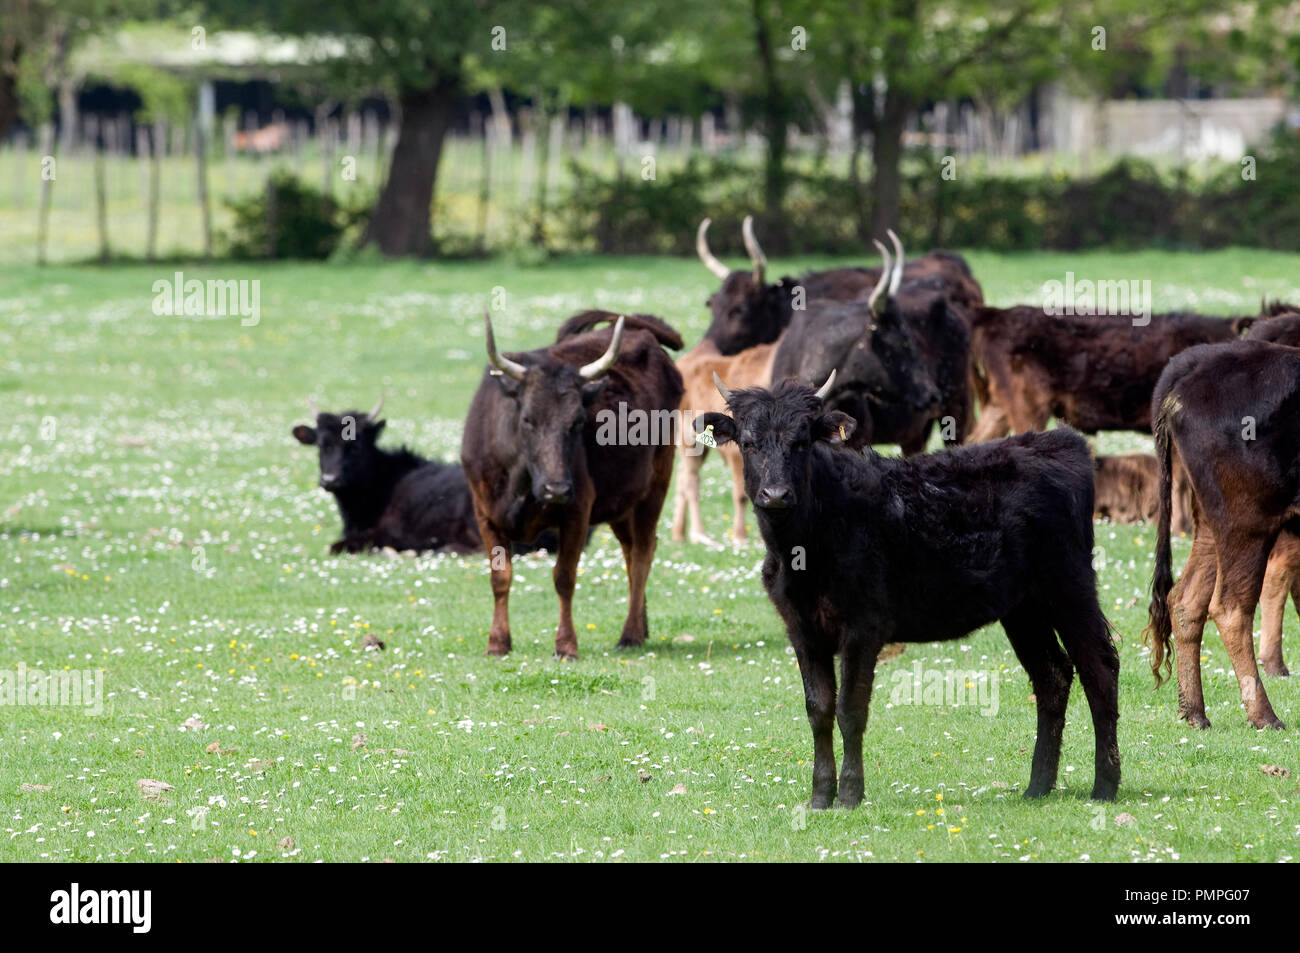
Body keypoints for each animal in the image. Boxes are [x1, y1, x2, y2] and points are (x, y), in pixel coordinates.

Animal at [461, 311, 684, 659]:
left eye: (577, 421)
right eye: (527, 419)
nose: (557, 490)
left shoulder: (577, 511)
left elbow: (564, 578)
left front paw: (565, 645)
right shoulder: (485, 513)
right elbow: (500, 578)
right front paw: (497, 643)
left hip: (656, 483)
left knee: (643, 553)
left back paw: (631, 633)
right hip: (622, 500)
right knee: (630, 551)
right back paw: (642, 625)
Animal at [696, 375, 1120, 807]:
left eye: (801, 442)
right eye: (749, 443)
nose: (776, 495)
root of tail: (1059, 439)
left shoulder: (863, 626)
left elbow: (850, 709)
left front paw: (850, 794)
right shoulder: (801, 628)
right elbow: (818, 709)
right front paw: (819, 797)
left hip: (1070, 586)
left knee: (1099, 668)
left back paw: (1104, 785)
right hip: (1023, 608)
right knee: (1052, 675)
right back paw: (1037, 786)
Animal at [1144, 340, 1300, 729]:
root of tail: (1196, 360)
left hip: (1212, 530)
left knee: (1185, 601)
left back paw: (1194, 712)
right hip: (1246, 525)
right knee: (1231, 609)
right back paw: (1264, 715)